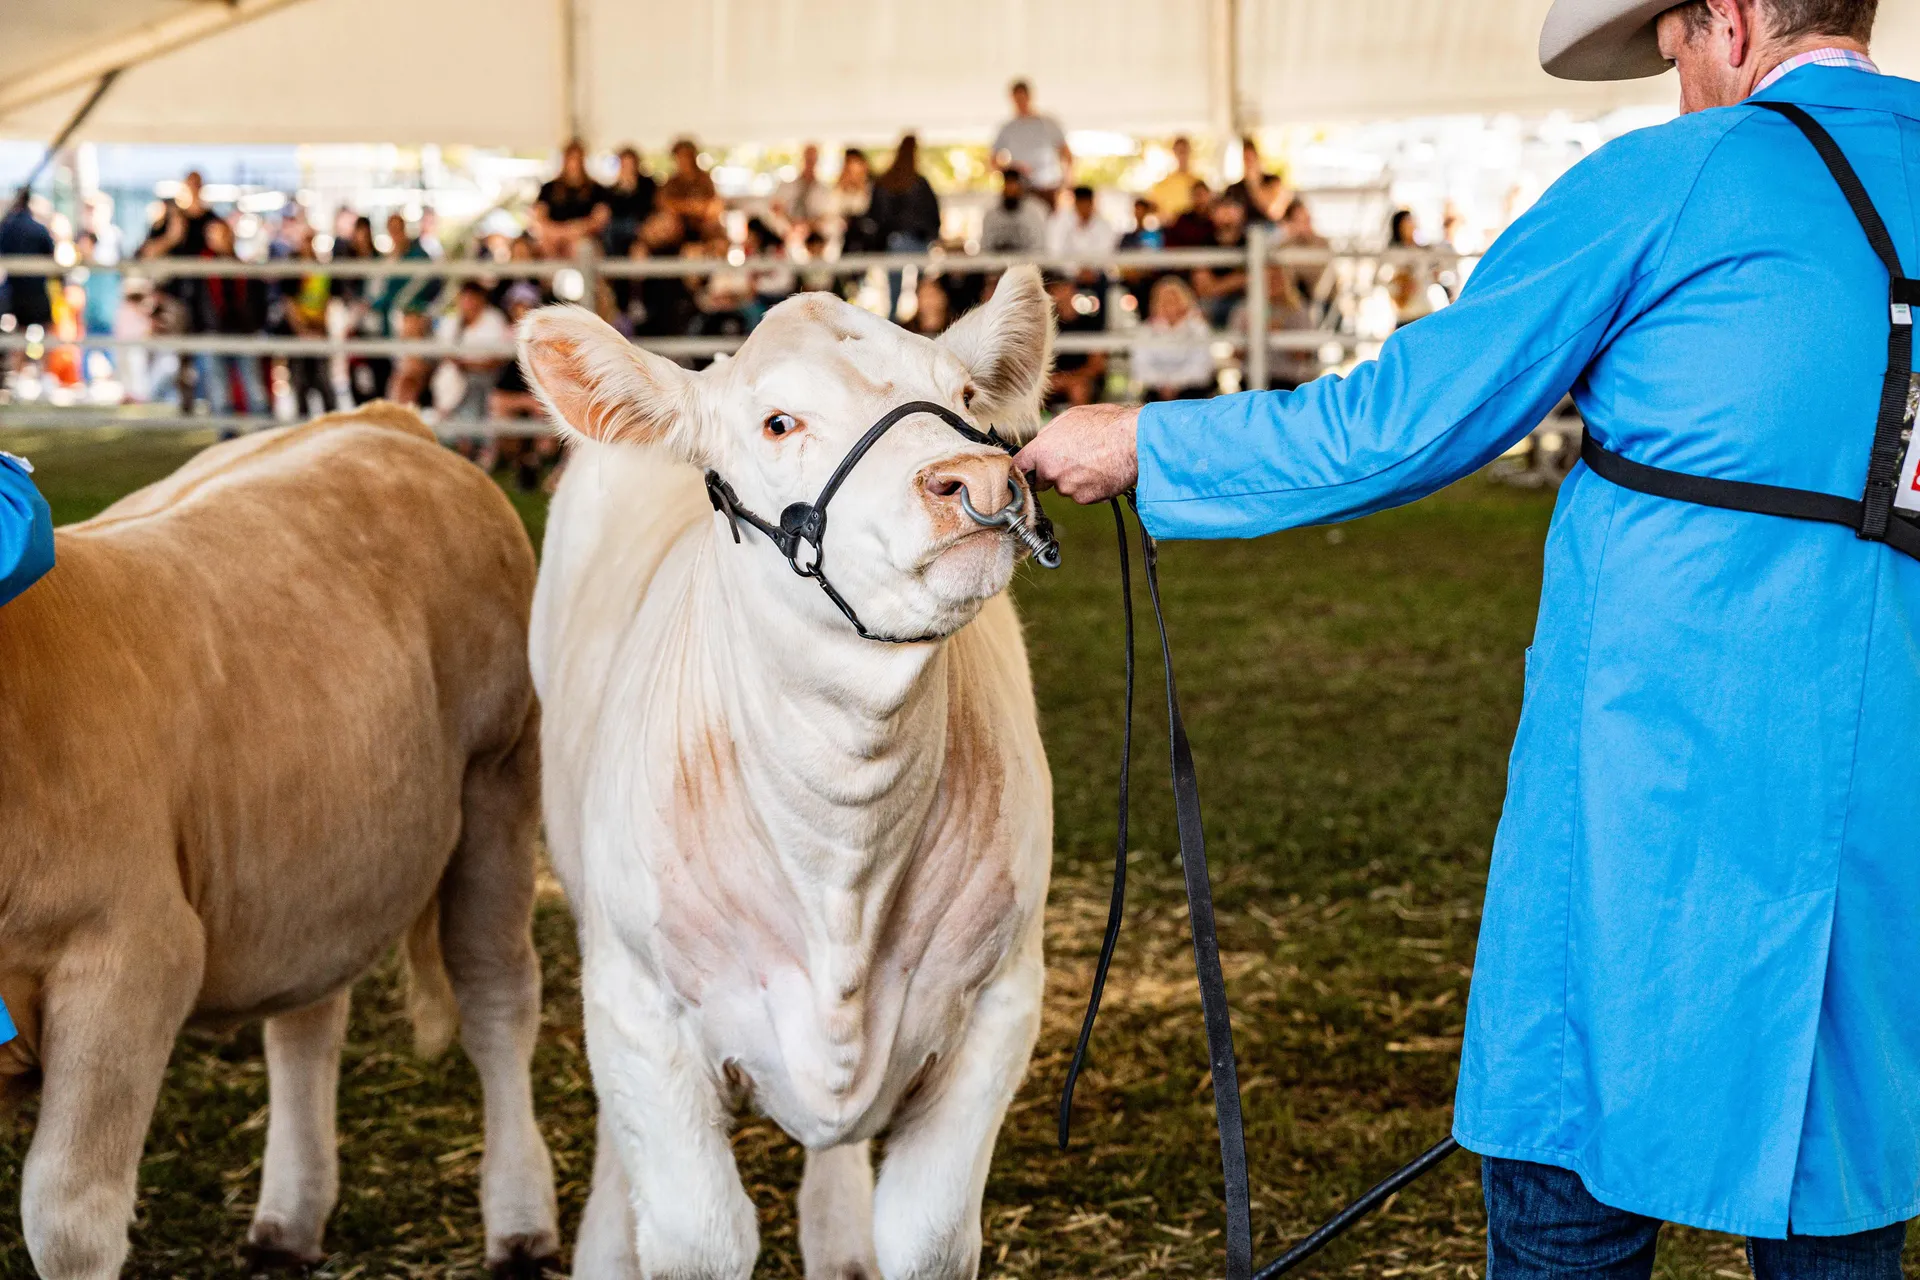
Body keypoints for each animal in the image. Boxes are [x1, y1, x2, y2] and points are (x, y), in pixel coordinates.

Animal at [0, 406, 559, 1278]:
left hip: (501, 777)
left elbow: (67, 1217)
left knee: (496, 990)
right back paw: (289, 1222)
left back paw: (521, 1226)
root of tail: (380, 421)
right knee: (308, 1016)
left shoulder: (132, 956)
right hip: (320, 846)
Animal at [521, 267, 1057, 1279]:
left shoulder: (1004, 997)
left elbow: (926, 1235)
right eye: (778, 422)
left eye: (967, 398)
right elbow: (696, 1233)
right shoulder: (636, 1003)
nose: (979, 480)